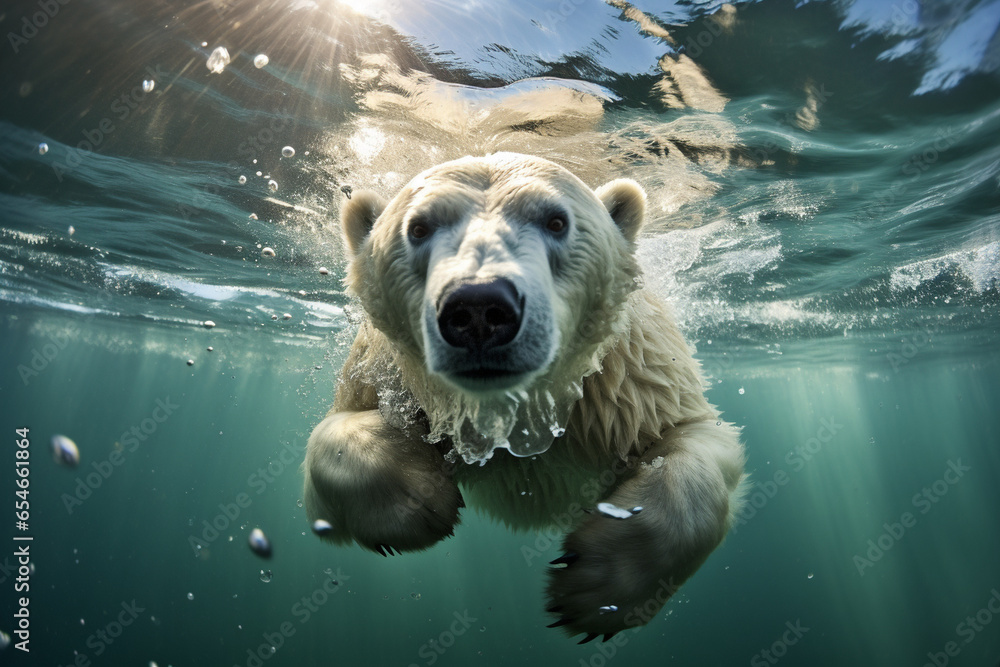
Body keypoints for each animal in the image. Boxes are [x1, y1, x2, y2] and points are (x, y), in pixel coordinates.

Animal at [303, 152, 746, 642]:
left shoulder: (632, 379)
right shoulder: (382, 373)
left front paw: (599, 586)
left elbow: (697, 440)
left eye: (556, 221)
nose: (478, 308)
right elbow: (329, 451)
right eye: (418, 227)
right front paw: (417, 497)